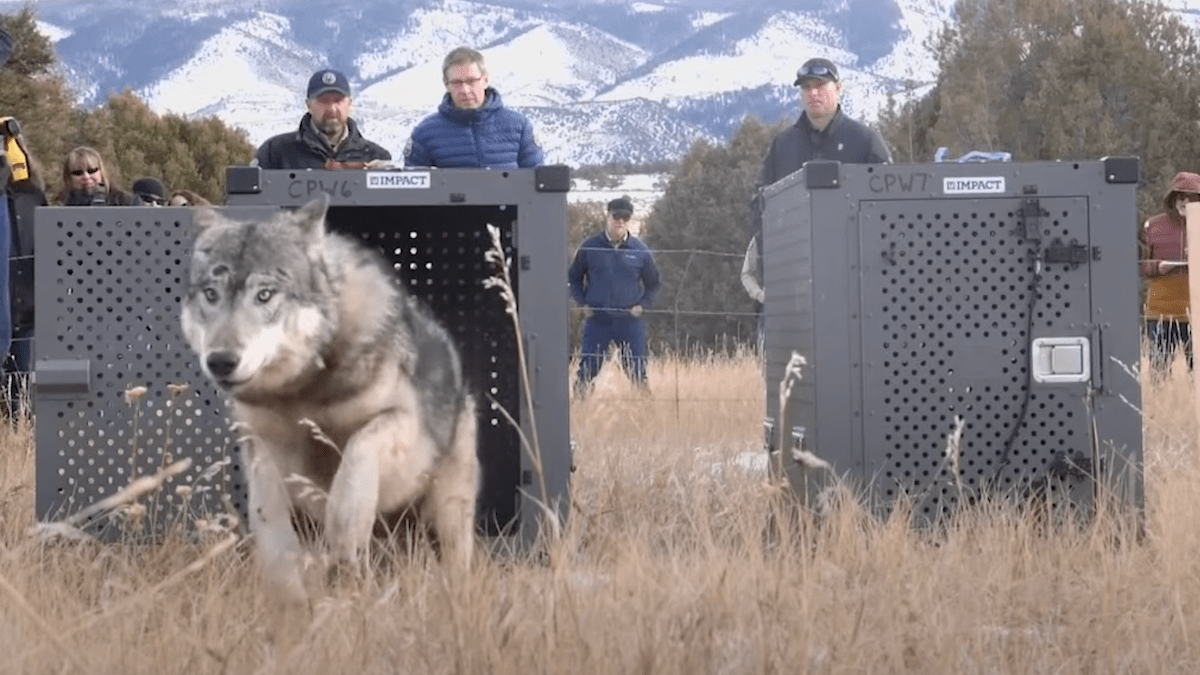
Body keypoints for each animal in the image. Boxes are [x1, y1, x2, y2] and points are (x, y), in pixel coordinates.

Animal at [180, 195, 479, 599]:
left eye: (265, 295)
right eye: (211, 295)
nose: (221, 361)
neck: (303, 392)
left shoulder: (399, 422)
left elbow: (355, 461)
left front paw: (345, 535)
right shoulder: (262, 446)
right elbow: (268, 518)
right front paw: (286, 586)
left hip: (447, 512)